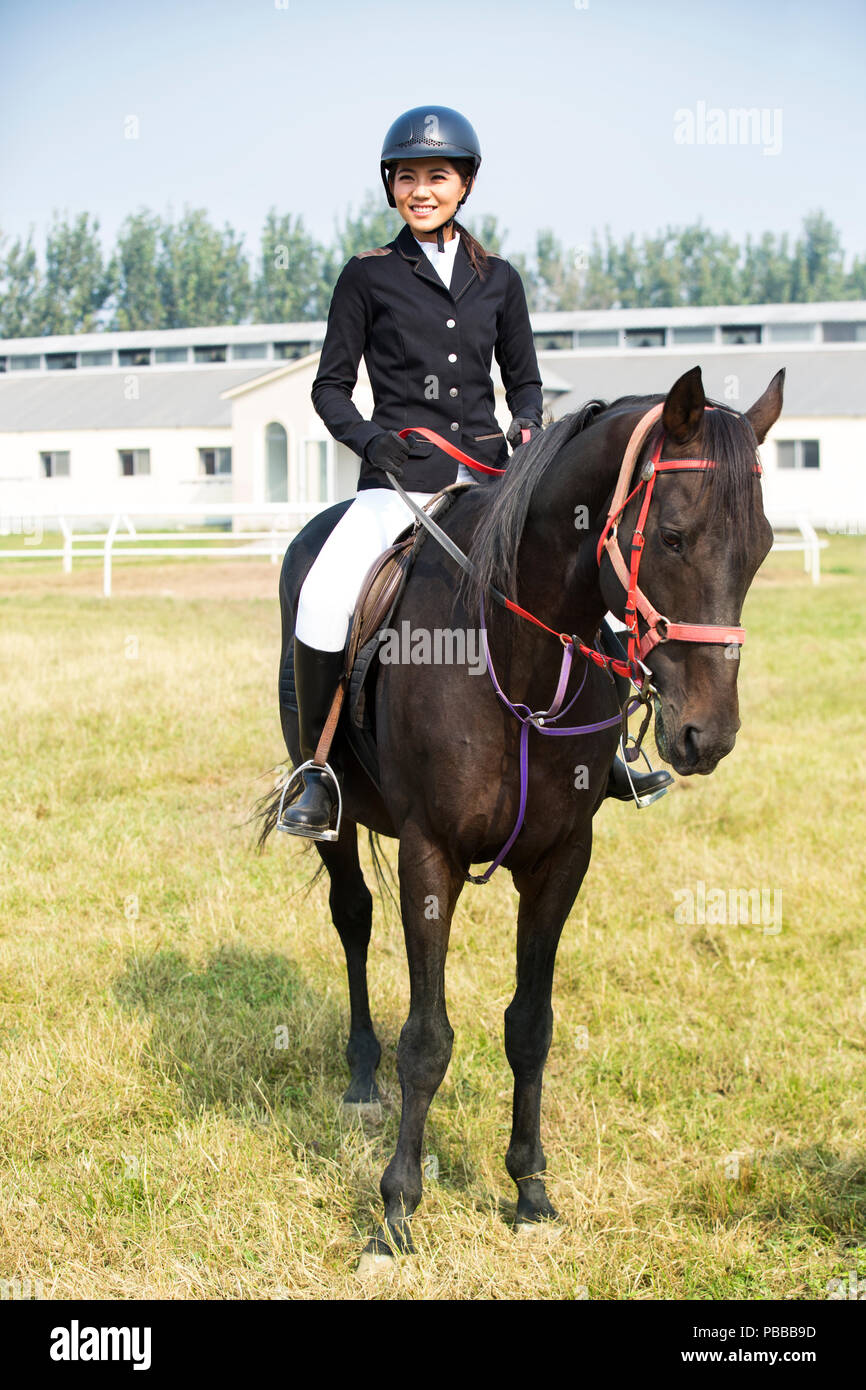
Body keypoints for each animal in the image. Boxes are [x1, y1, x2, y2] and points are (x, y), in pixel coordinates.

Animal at [256, 364, 783, 1268]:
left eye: (763, 547)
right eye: (673, 537)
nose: (705, 736)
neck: (515, 654)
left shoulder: (563, 858)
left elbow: (530, 1025)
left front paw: (531, 1189)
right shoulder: (428, 853)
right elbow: (426, 1040)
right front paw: (395, 1213)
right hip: (333, 812)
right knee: (352, 918)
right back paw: (359, 1077)